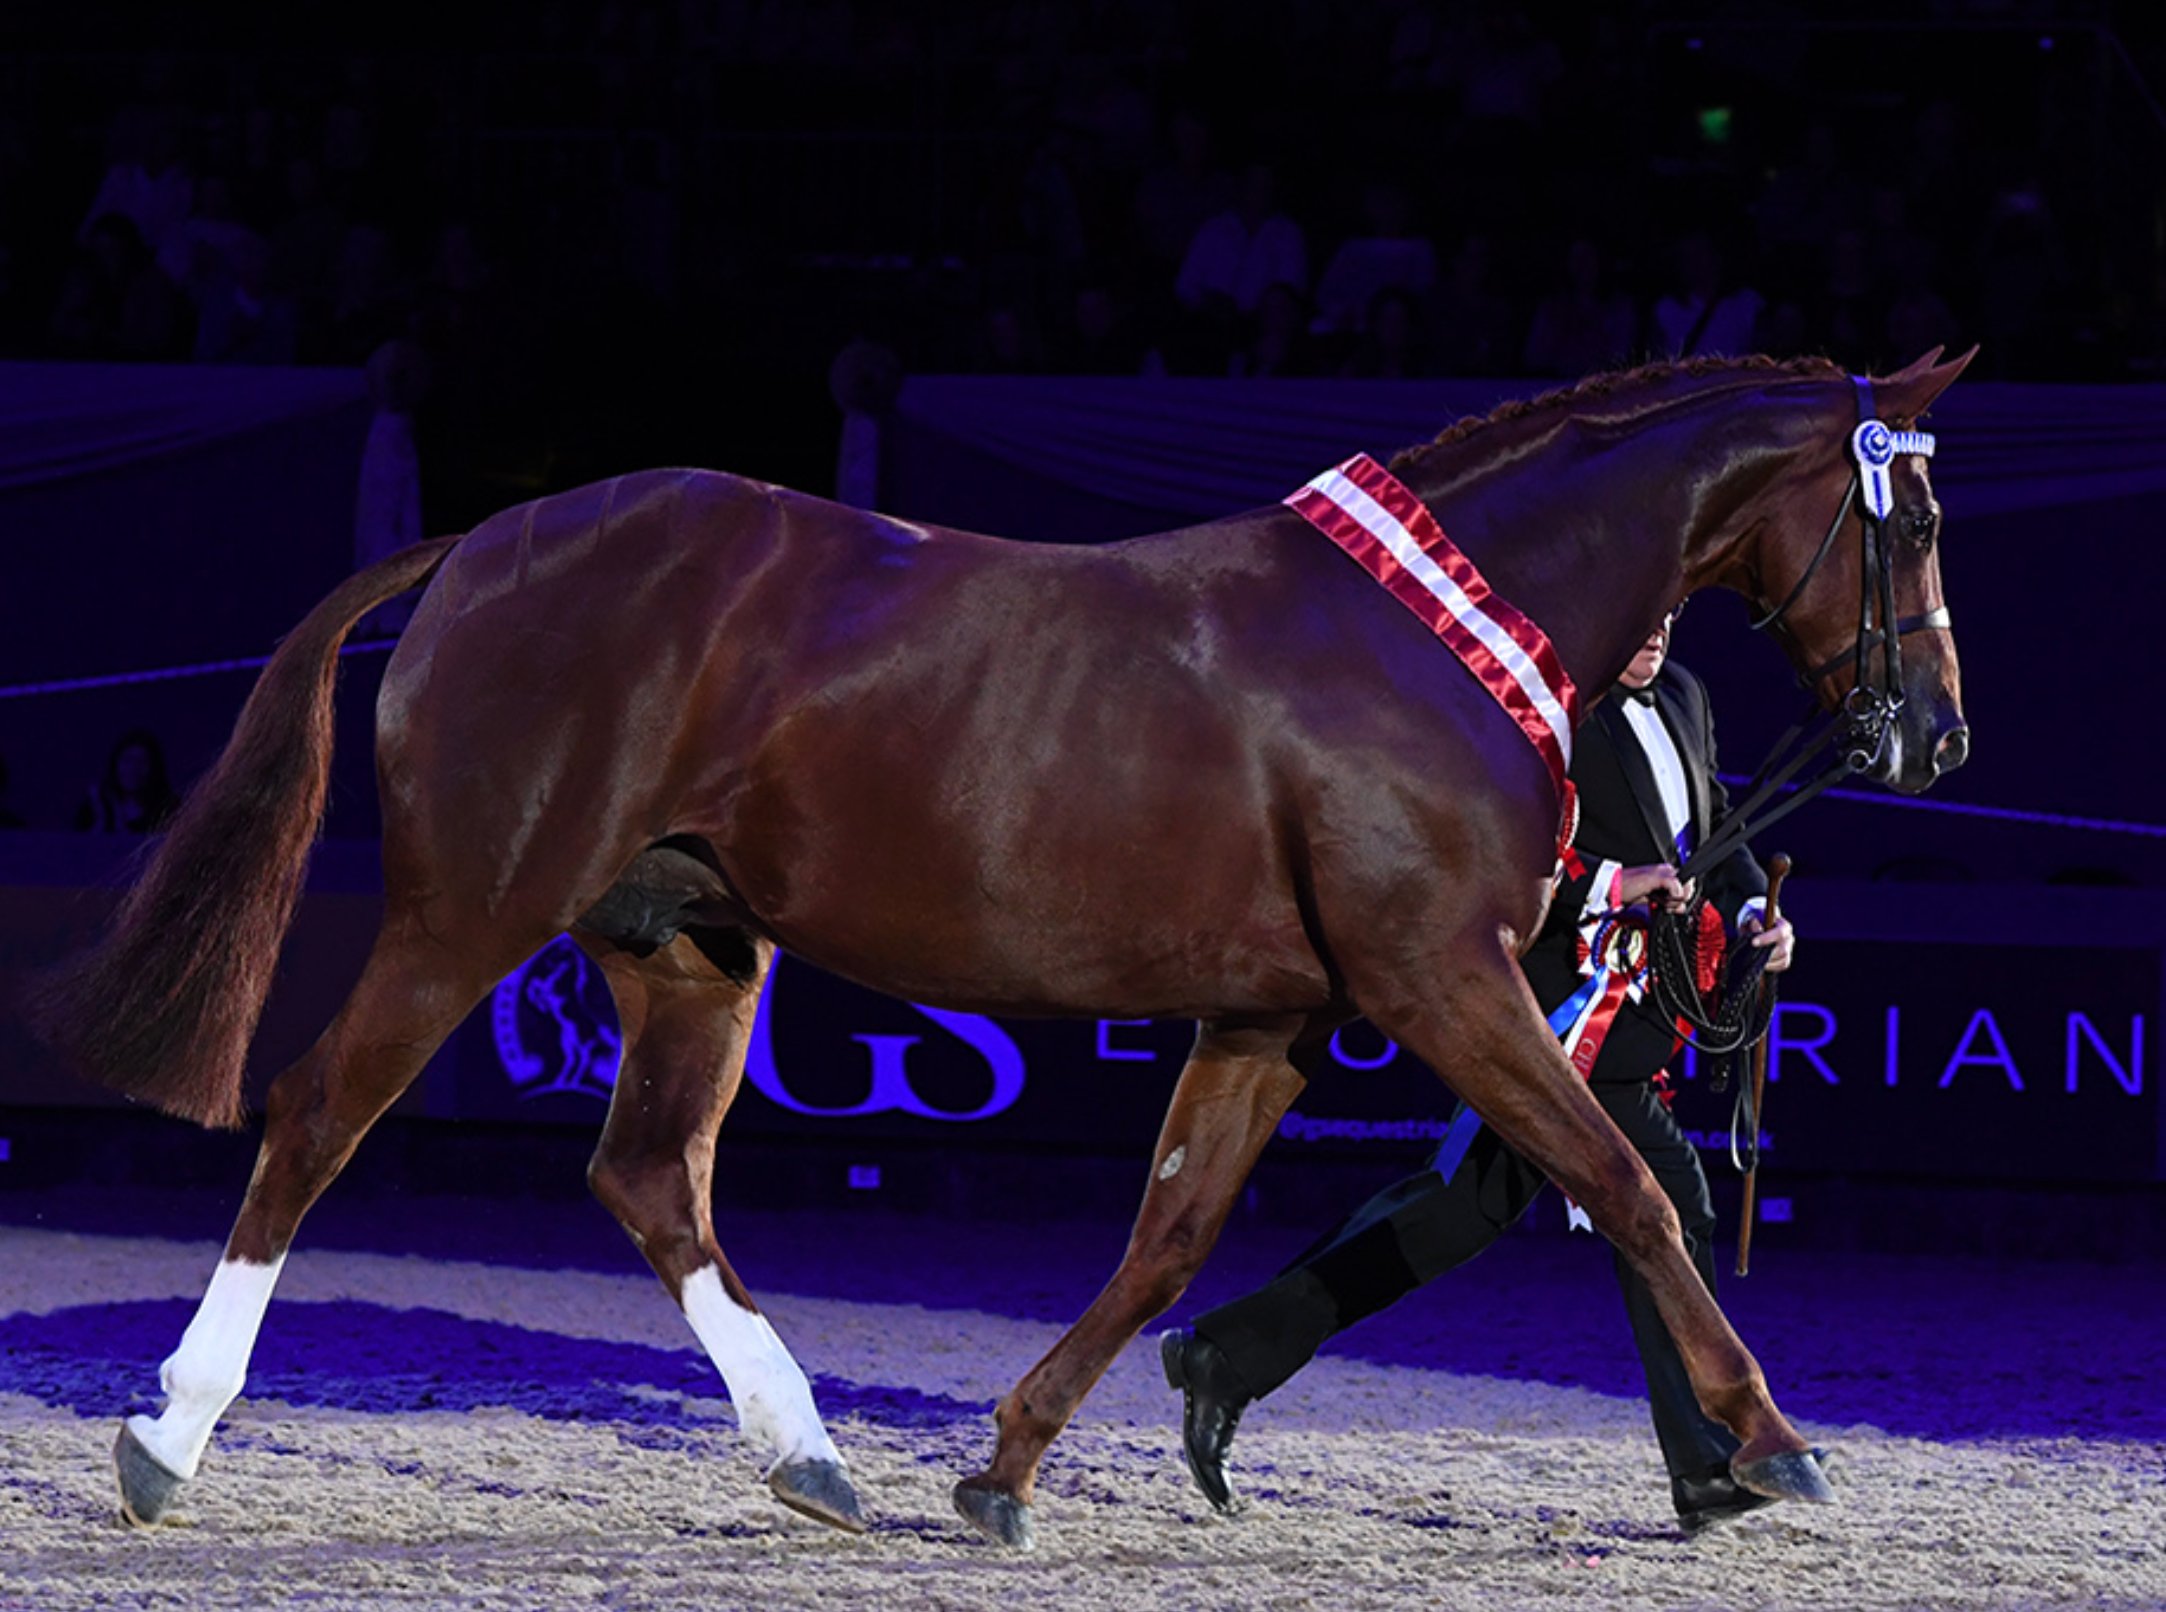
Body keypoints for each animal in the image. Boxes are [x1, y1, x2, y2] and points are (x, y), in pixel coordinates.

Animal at [27, 349, 1973, 1549]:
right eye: (1918, 523)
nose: (1936, 735)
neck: (1431, 638)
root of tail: (492, 537)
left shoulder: (1269, 1019)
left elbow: (1163, 1242)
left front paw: (1009, 1463)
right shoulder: (1441, 978)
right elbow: (1625, 1186)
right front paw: (1773, 1448)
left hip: (691, 948)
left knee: (651, 1177)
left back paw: (812, 1457)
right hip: (468, 914)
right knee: (315, 1121)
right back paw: (164, 1440)